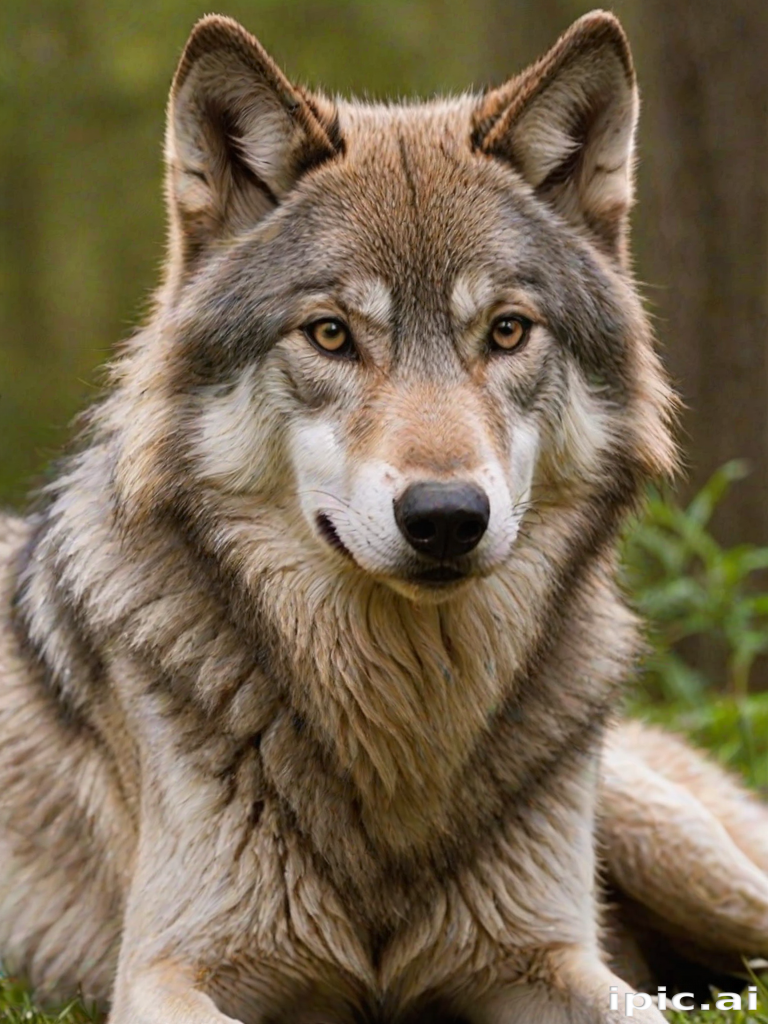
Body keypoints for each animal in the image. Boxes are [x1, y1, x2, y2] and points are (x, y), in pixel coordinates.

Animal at [2, 10, 768, 1023]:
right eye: (331, 333)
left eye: (507, 331)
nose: (445, 517)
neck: (404, 726)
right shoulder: (166, 968)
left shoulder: (550, 957)